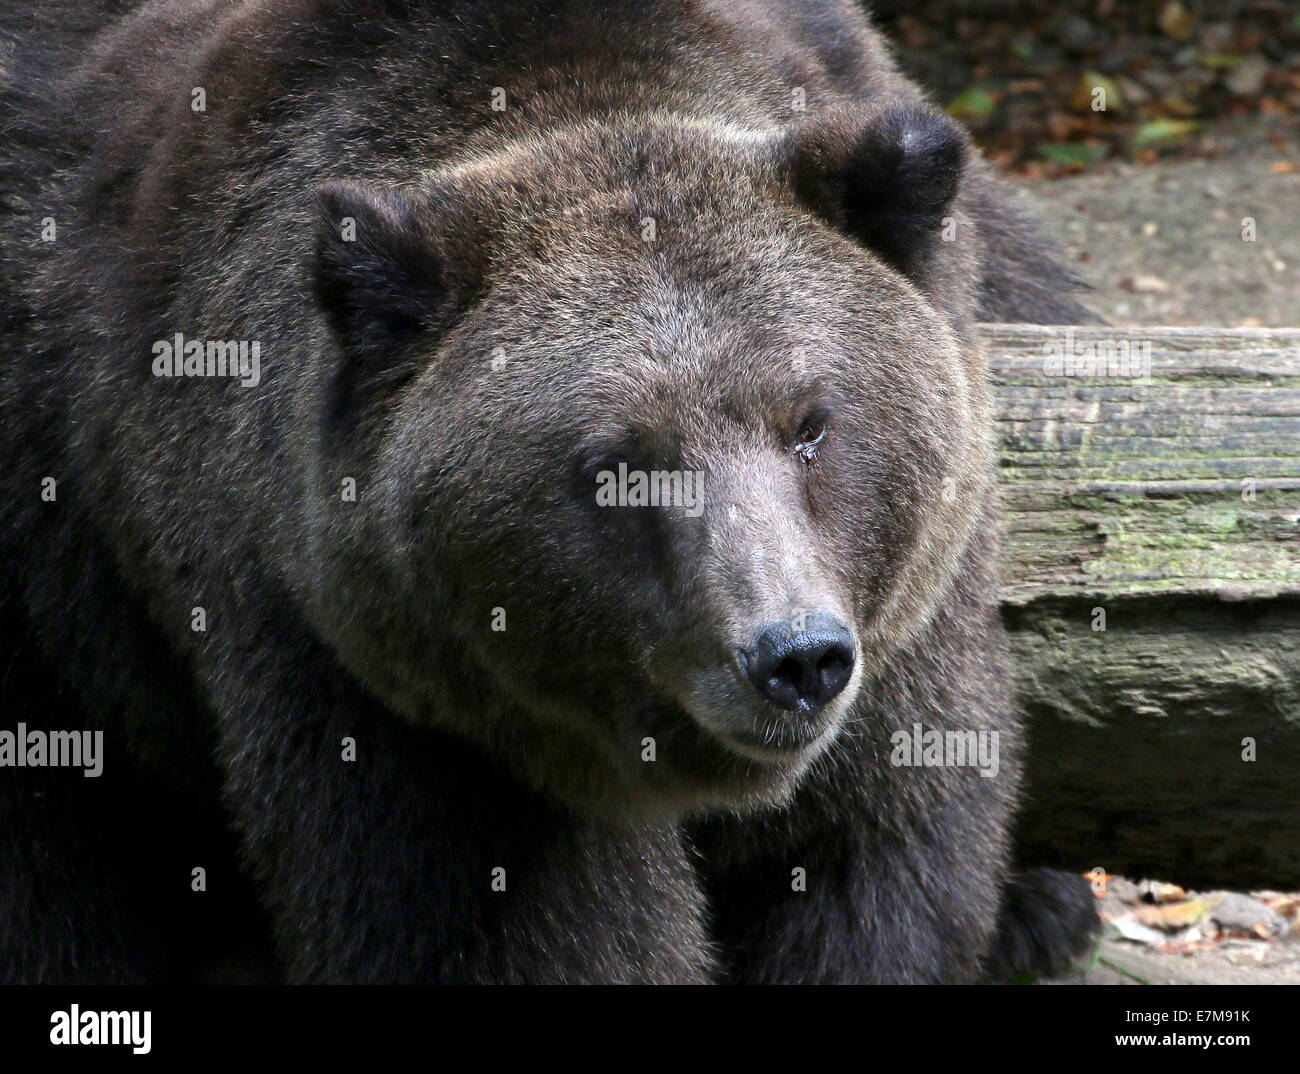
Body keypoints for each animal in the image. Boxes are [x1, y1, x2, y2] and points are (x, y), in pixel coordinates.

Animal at [0, 0, 1098, 983]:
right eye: (617, 464)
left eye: (812, 423)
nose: (792, 657)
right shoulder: (383, 690)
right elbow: (521, 933)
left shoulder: (903, 618)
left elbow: (868, 856)